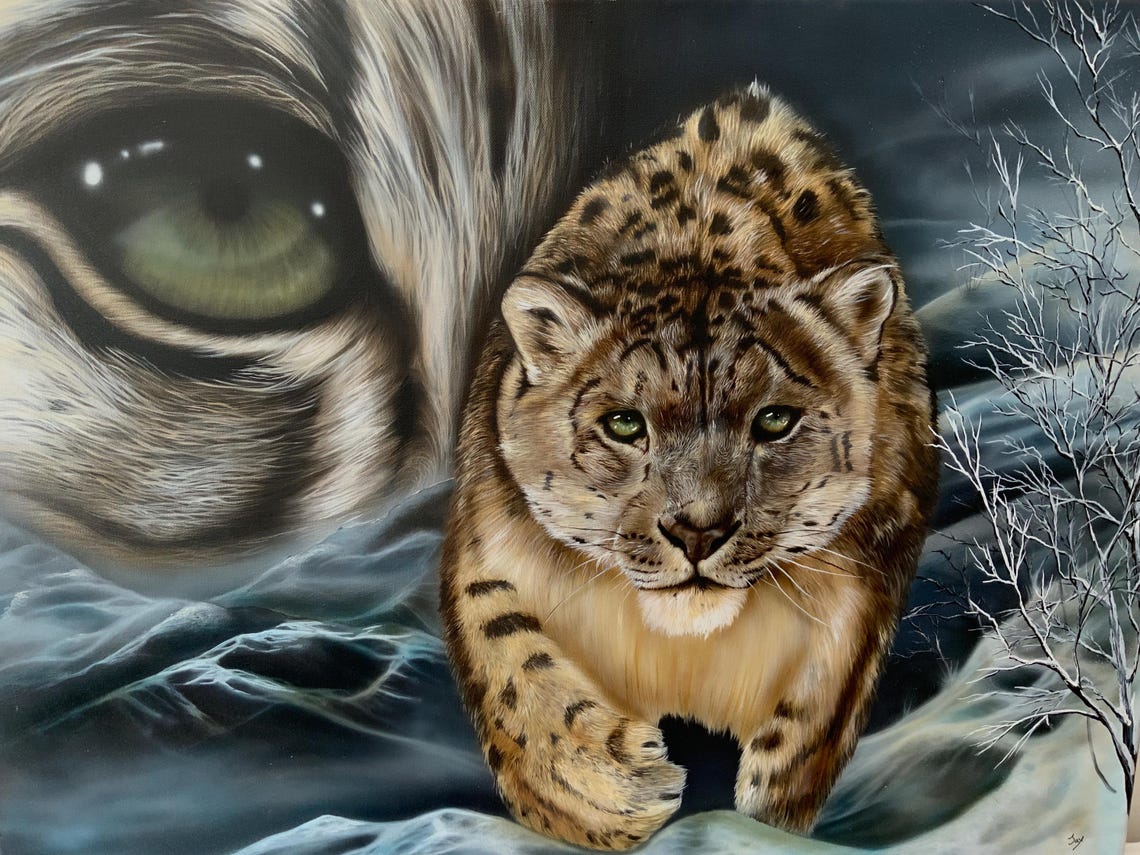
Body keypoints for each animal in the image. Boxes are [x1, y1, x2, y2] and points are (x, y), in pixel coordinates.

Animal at [440, 82, 940, 850]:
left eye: (774, 420)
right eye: (624, 423)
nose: (698, 530)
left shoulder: (879, 551)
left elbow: (834, 676)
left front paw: (769, 793)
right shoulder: (483, 545)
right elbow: (506, 656)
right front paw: (603, 792)